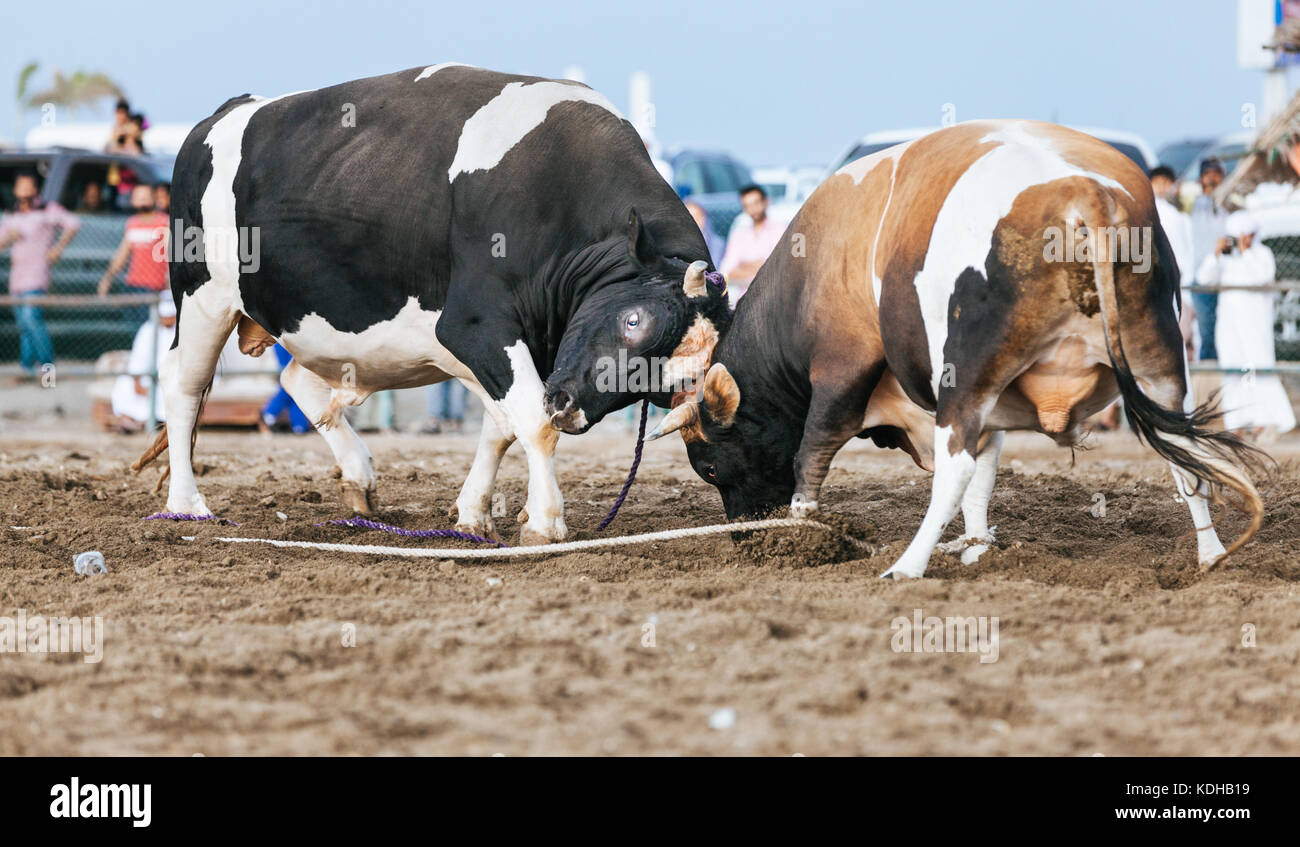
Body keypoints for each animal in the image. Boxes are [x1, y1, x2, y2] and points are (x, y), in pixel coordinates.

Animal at [133, 65, 730, 544]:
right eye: (633, 320)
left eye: (672, 381)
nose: (570, 406)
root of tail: (228, 112)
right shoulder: (475, 327)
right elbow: (532, 424)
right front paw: (545, 519)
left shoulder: (515, 345)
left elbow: (503, 425)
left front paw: (472, 514)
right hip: (203, 298)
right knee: (183, 386)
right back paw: (186, 505)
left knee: (295, 381)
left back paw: (359, 477)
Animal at [646, 120, 1265, 578]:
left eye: (707, 465)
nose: (746, 538)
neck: (822, 257)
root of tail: (1080, 194)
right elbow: (985, 476)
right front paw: (976, 547)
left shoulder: (841, 371)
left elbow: (812, 454)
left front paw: (802, 532)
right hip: (1157, 365)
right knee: (1183, 456)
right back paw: (1211, 555)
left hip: (964, 377)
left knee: (954, 467)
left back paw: (907, 565)